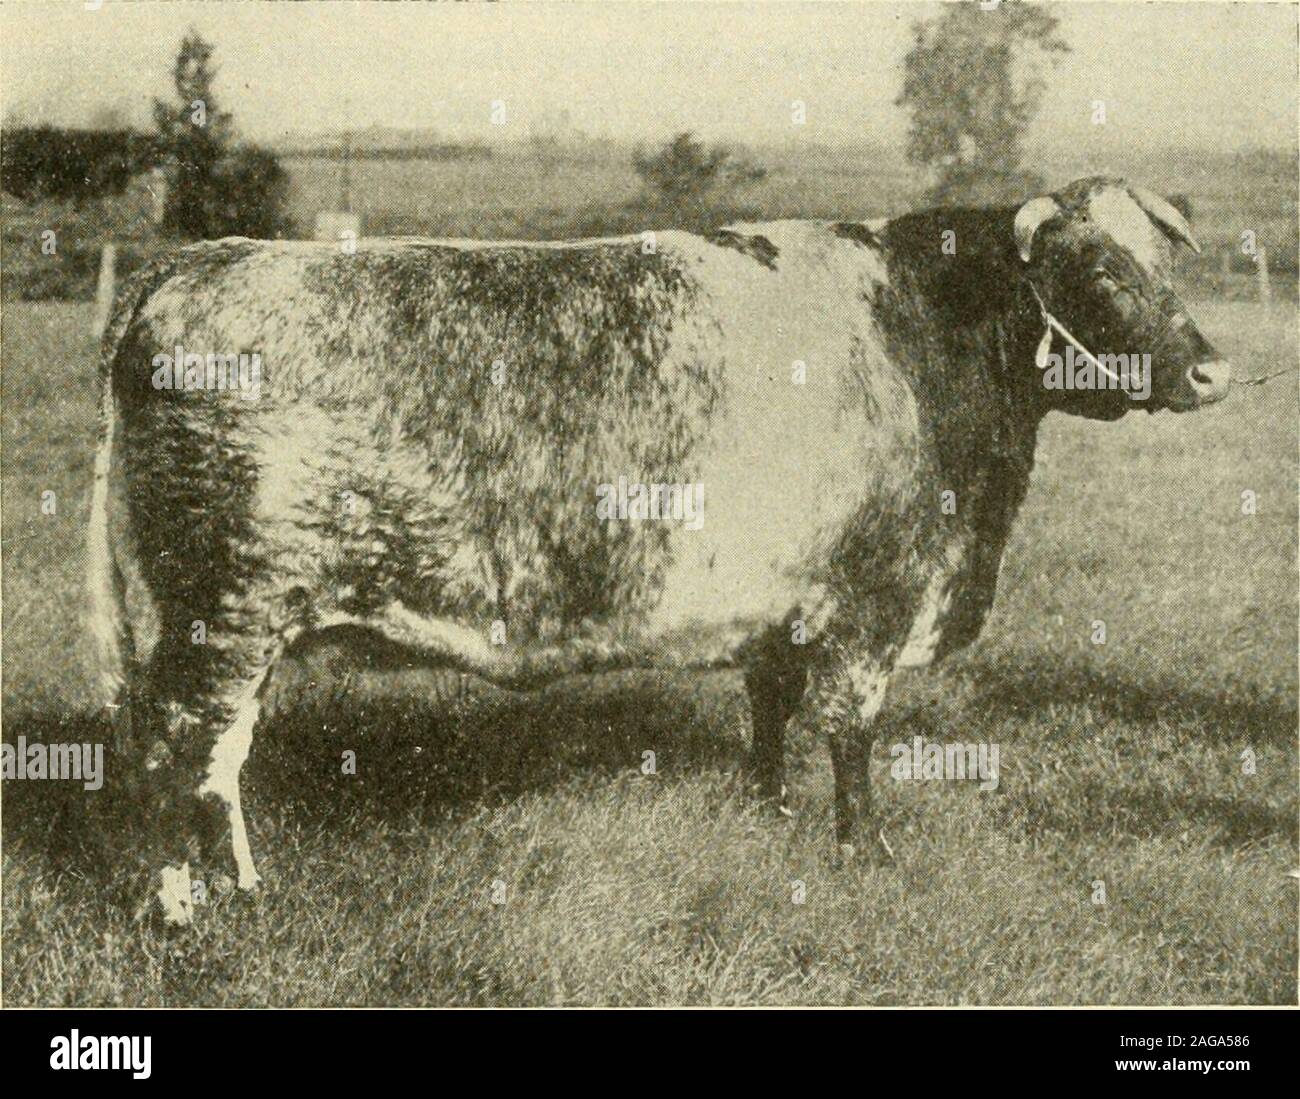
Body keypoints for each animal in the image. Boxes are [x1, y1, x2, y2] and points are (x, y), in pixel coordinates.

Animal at [88, 176, 1230, 924]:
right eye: (1095, 266)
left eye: (1167, 260)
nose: (1212, 369)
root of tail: (198, 260)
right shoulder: (873, 594)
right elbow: (852, 734)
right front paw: (865, 849)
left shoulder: (784, 598)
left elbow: (770, 706)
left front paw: (767, 809)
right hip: (224, 607)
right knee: (176, 745)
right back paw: (181, 910)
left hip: (247, 617)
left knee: (219, 756)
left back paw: (245, 888)